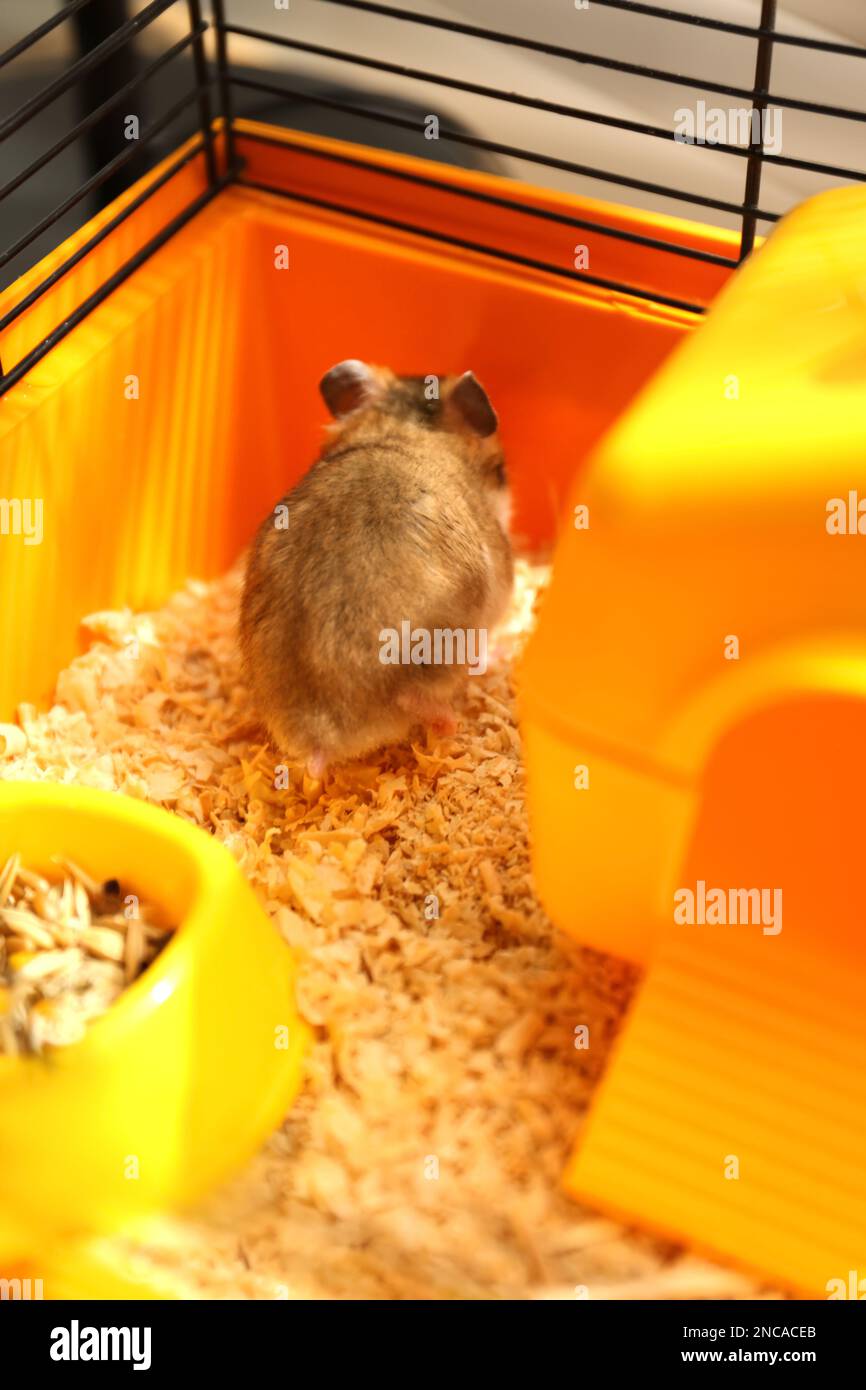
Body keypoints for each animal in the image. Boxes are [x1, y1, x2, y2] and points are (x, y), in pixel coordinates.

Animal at [239, 360, 514, 775]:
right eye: (501, 470)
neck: (402, 427)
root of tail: (322, 727)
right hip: (448, 648)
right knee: (429, 696)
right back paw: (456, 715)